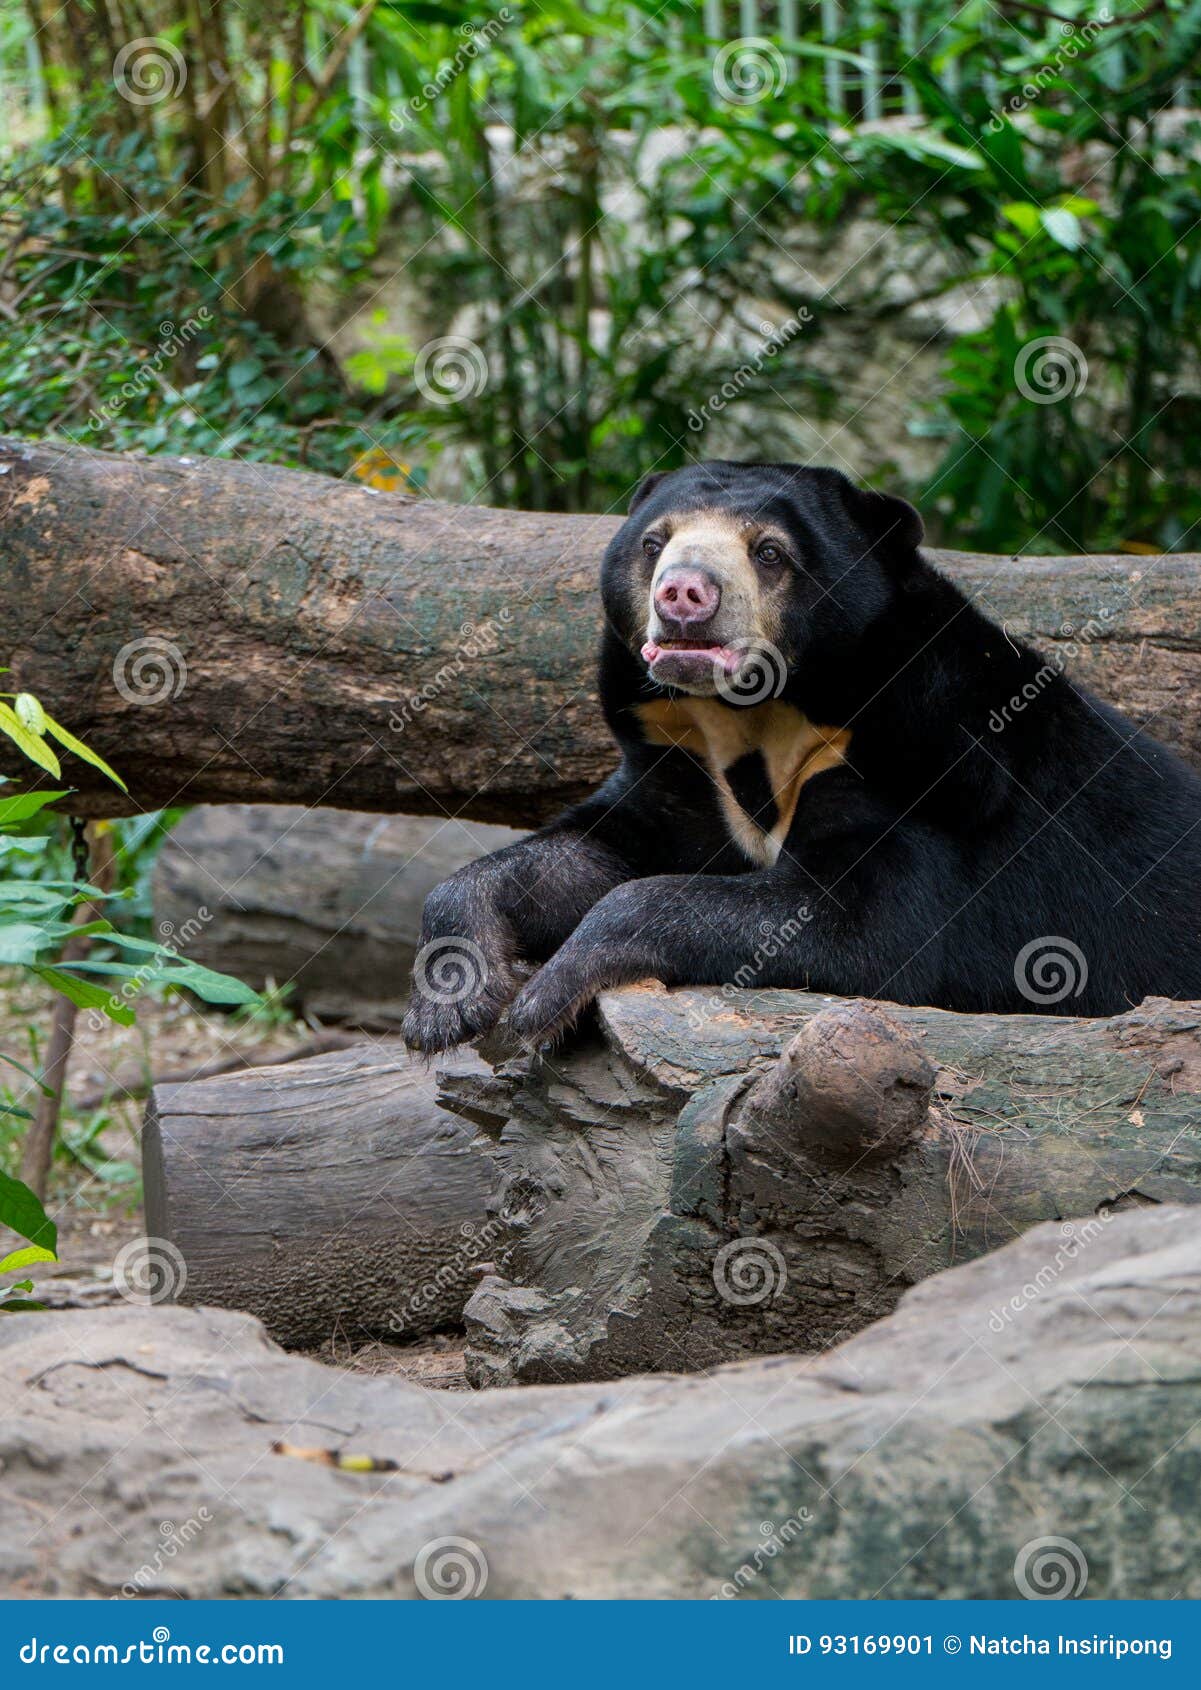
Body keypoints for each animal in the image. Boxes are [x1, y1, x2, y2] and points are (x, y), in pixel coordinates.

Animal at [402, 460, 1201, 1054]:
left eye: (769, 552)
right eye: (653, 543)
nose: (683, 593)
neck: (754, 717)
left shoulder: (924, 767)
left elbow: (863, 923)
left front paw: (544, 997)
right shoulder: (676, 758)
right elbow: (588, 851)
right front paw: (450, 1001)